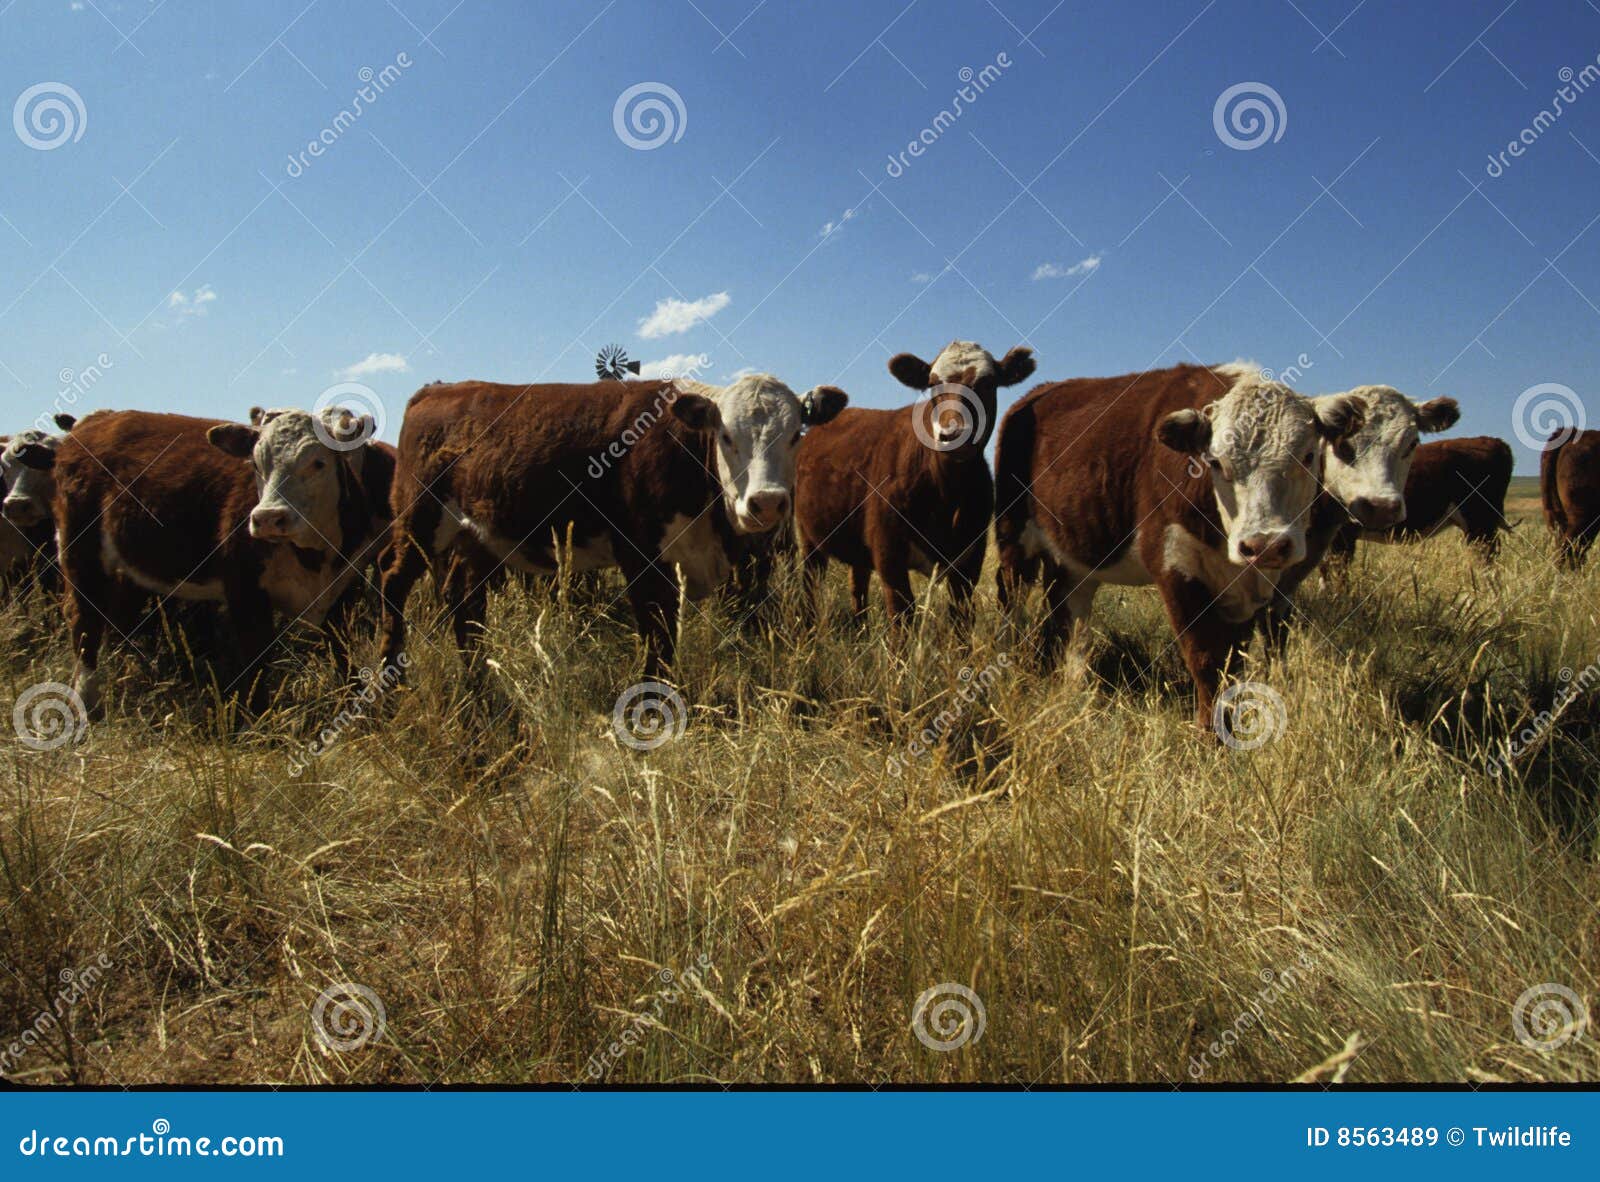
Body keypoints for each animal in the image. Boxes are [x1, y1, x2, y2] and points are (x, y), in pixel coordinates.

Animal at [29, 407, 393, 717]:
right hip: (80, 552)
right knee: (84, 623)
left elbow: (341, 653)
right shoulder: (244, 591)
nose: (268, 518)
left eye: (317, 463)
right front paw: (257, 720)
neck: (314, 551)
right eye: (256, 464)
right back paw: (87, 699)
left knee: (115, 617)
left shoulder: (343, 590)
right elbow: (256, 658)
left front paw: (354, 705)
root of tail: (96, 422)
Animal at [377, 374, 846, 678]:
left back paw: (477, 675)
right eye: (727, 437)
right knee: (393, 579)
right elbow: (658, 639)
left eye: (796, 435)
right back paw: (391, 678)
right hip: (418, 521)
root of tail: (438, 390)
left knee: (463, 600)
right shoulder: (641, 556)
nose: (766, 502)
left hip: (475, 538)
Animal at [794, 341, 1035, 626]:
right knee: (811, 580)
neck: (946, 493)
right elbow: (901, 613)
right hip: (808, 536)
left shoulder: (969, 561)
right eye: (933, 384)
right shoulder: (889, 555)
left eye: (987, 384)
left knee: (858, 584)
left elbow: (961, 618)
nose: (953, 434)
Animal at [993, 363, 1366, 732]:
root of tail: (1038, 393)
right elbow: (1205, 660)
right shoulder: (1175, 565)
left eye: (1308, 455)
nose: (1266, 544)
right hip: (1014, 534)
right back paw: (1012, 662)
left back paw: (1075, 688)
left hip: (1075, 553)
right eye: (1216, 462)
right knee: (1012, 593)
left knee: (1069, 611)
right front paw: (1210, 735)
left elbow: (1233, 664)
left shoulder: (1249, 589)